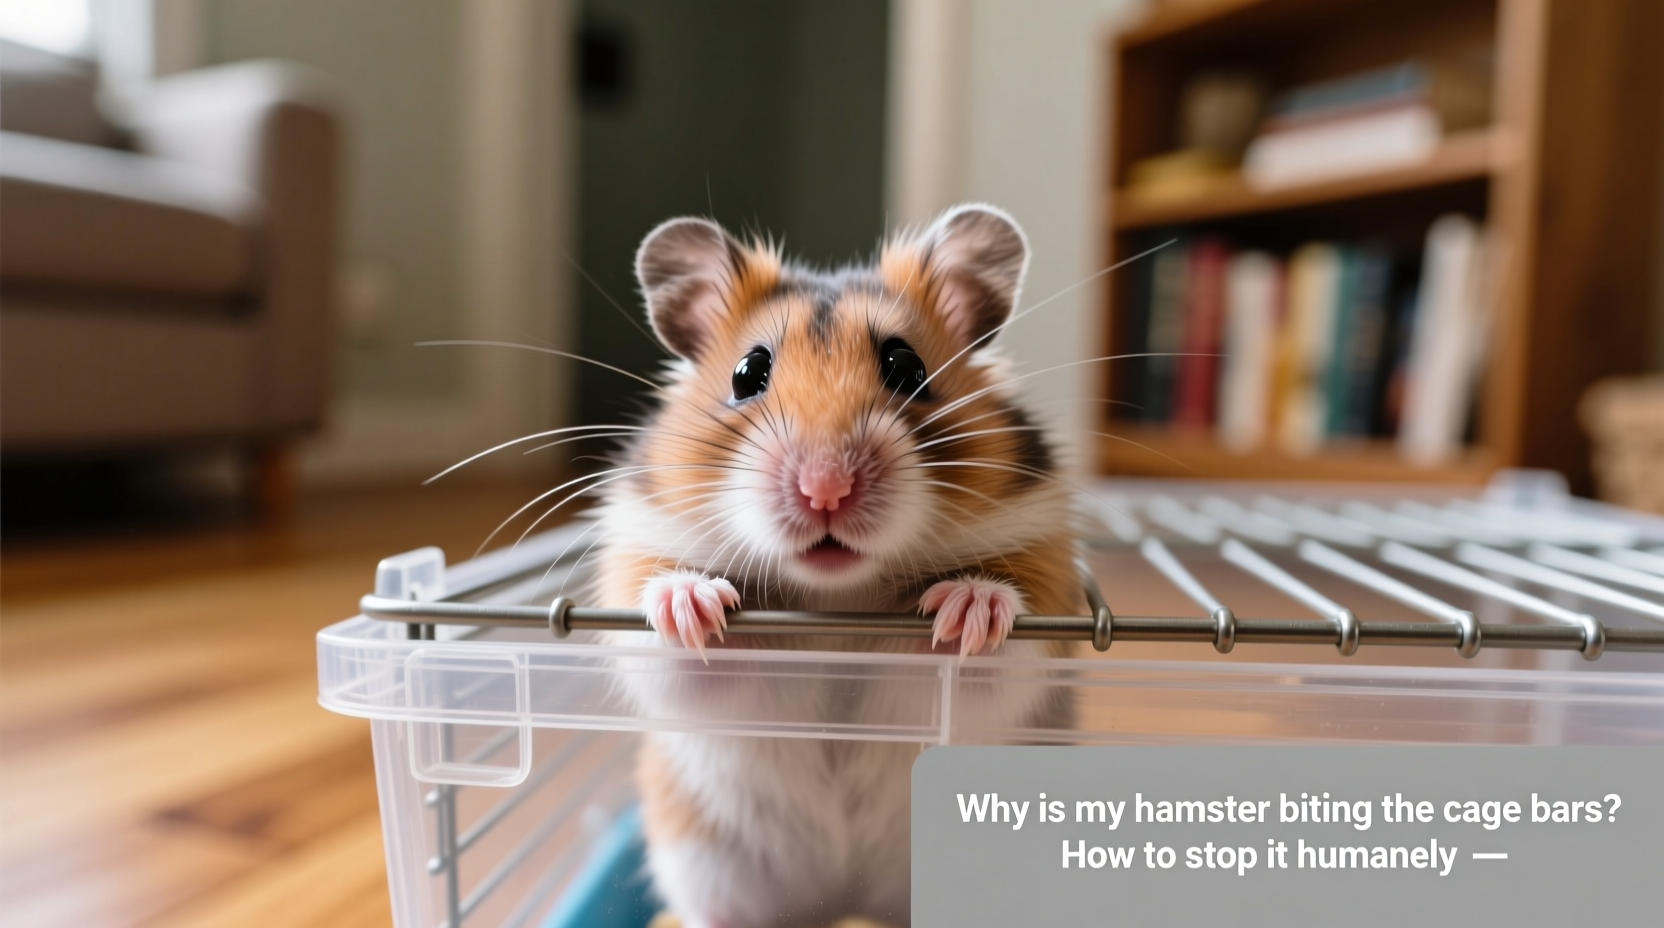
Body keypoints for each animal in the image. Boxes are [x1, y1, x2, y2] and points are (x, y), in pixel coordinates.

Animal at [591, 204, 1081, 928]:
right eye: (747, 373)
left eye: (907, 366)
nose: (826, 490)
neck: (836, 598)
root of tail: (845, 899)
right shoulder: (643, 576)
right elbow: (682, 655)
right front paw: (691, 603)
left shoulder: (1041, 598)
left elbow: (996, 655)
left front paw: (966, 608)